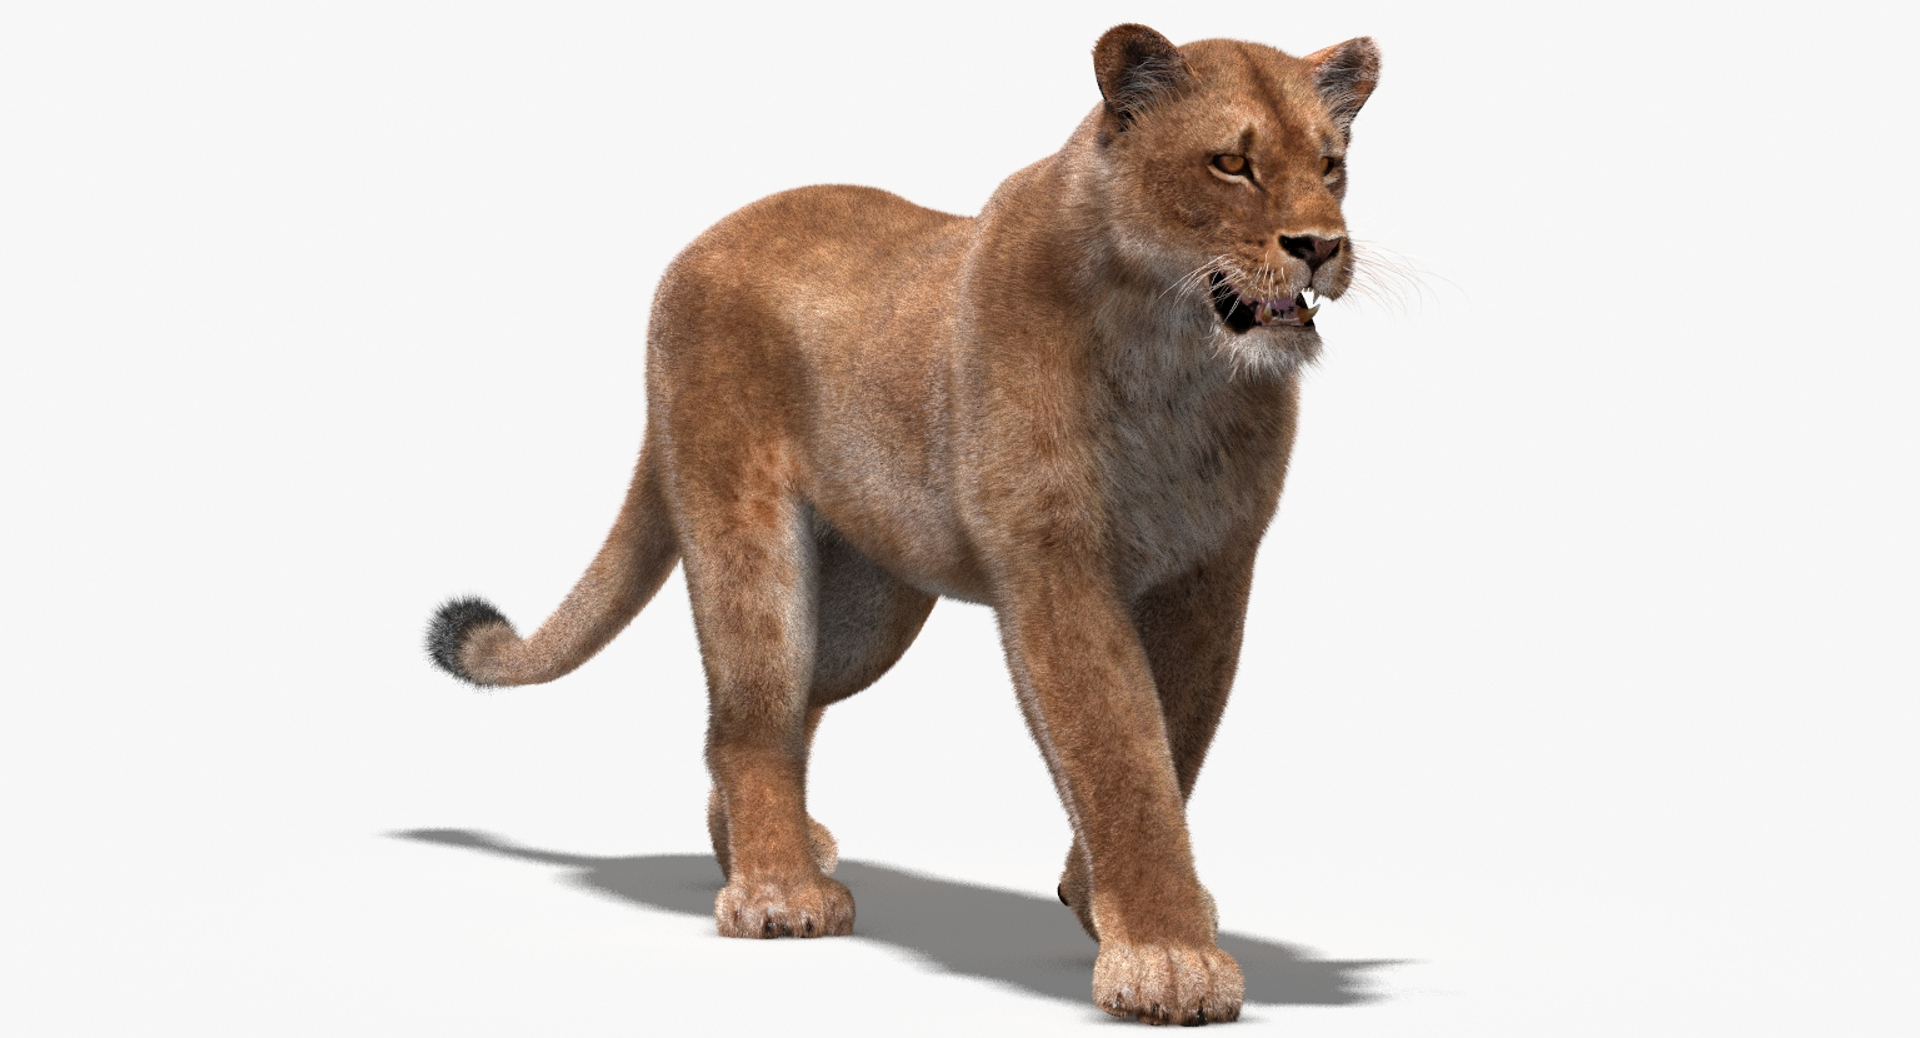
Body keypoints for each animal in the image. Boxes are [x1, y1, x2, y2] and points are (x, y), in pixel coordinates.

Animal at [426, 24, 1381, 1025]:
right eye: (1231, 163)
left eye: (1331, 163)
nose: (1322, 246)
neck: (1178, 361)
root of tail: (700, 242)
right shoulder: (1057, 566)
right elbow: (1121, 755)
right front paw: (1168, 956)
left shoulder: (1212, 571)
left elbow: (1177, 740)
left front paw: (1105, 905)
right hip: (749, 544)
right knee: (748, 716)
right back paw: (778, 892)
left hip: (865, 612)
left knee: (785, 710)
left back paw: (761, 851)